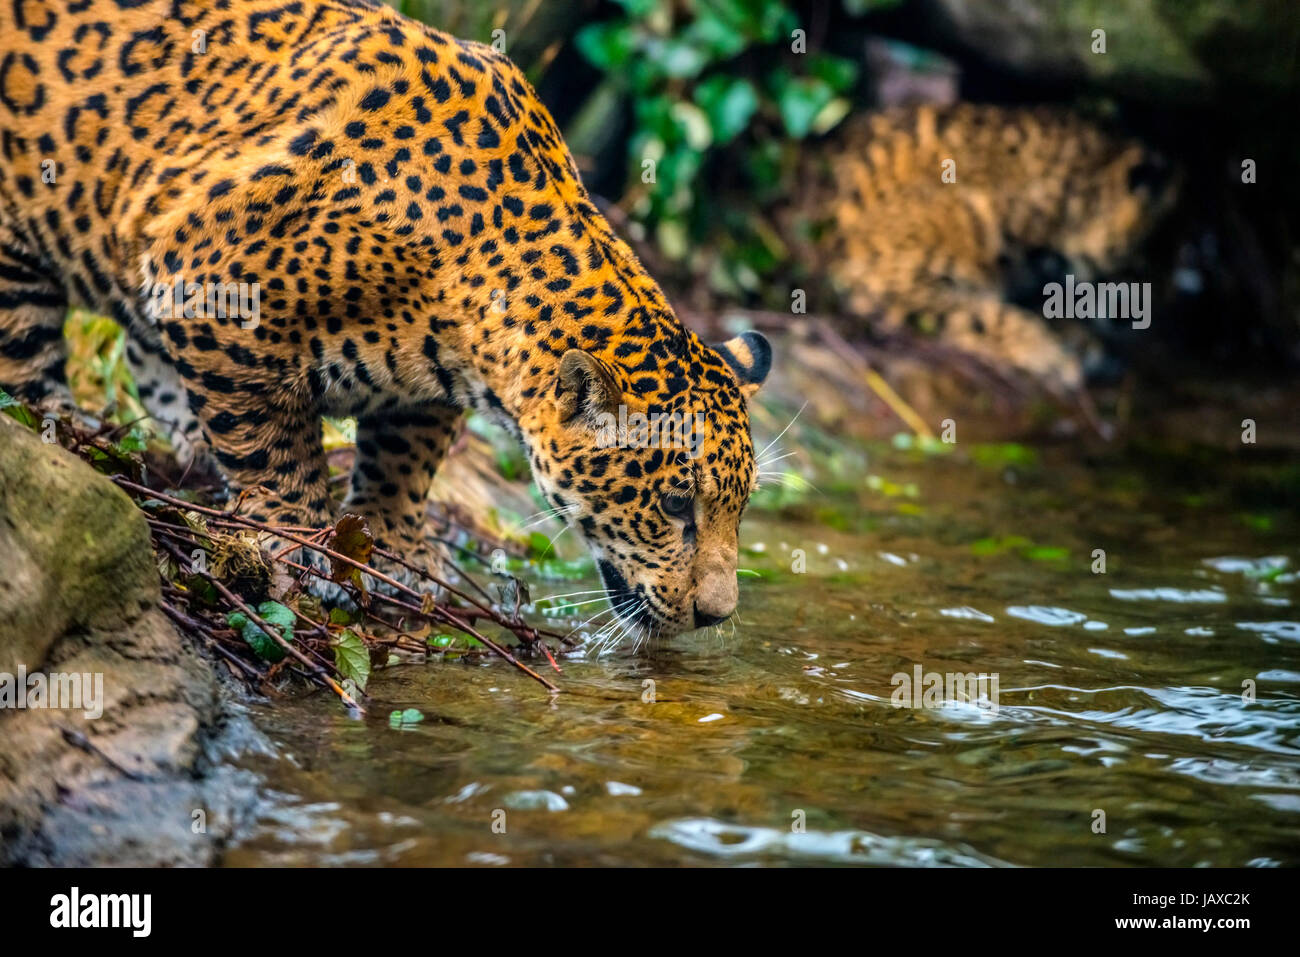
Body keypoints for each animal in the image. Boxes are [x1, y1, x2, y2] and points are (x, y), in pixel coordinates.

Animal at [0, 0, 772, 642]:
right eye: (675, 504)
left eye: (740, 508)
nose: (717, 615)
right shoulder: (209, 278)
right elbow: (270, 441)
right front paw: (298, 540)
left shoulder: (429, 383)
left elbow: (404, 457)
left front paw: (394, 547)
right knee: (26, 352)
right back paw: (66, 427)